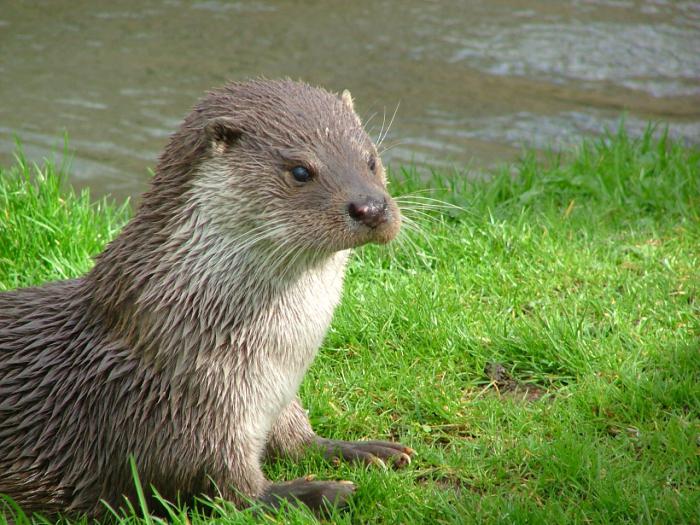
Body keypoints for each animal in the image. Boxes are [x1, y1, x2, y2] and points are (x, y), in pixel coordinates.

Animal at [0, 80, 410, 516]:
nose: (370, 207)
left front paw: (363, 450)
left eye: (371, 160)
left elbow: (299, 441)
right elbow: (229, 492)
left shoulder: (276, 401)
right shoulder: (181, 417)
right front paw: (322, 492)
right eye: (301, 171)